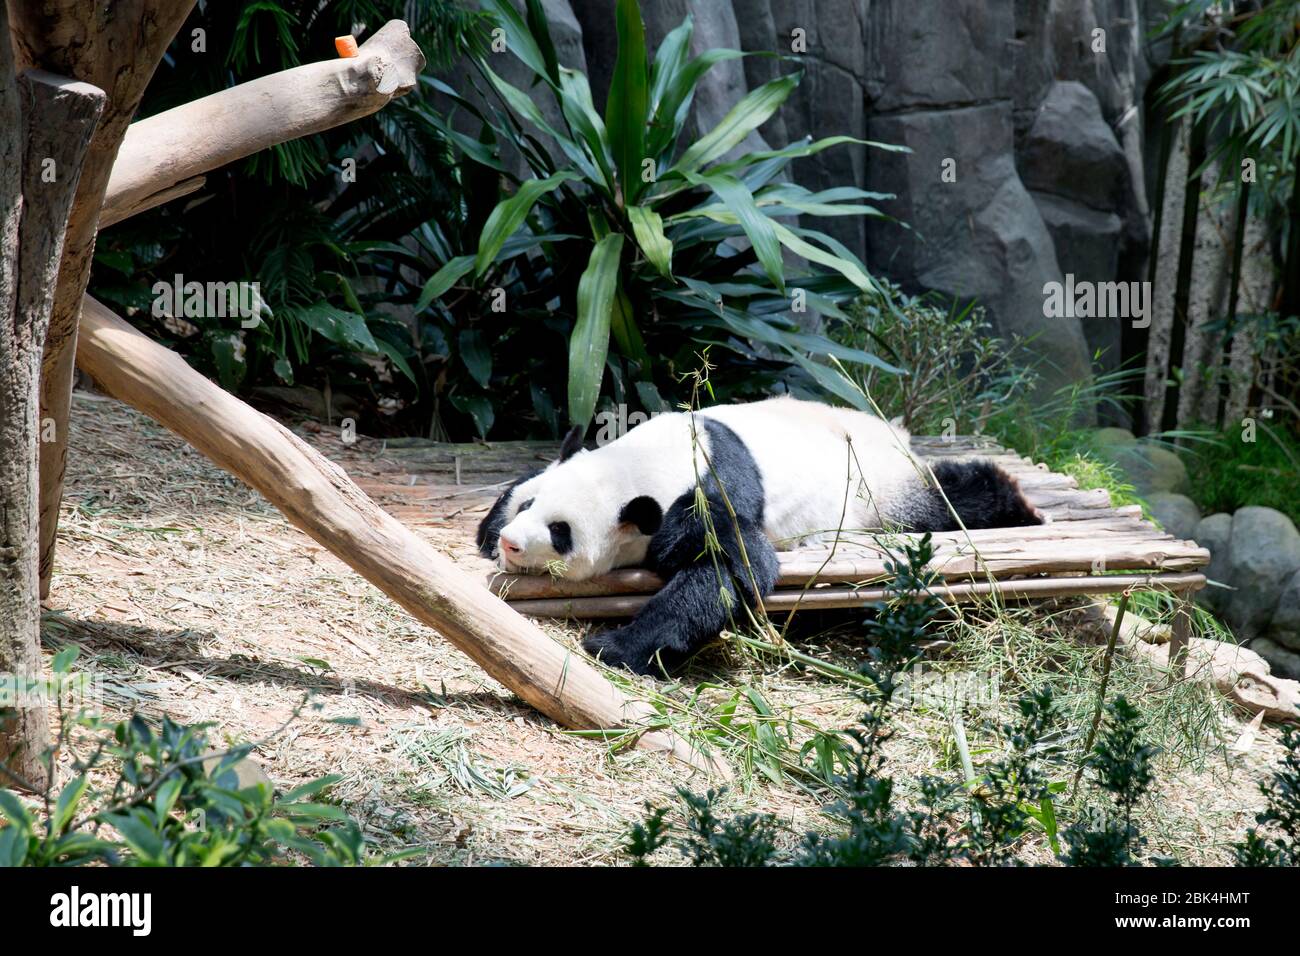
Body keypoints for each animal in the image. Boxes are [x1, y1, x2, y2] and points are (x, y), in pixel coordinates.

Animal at [477, 396, 1042, 675]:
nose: (511, 544)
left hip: (877, 488)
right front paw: (488, 529)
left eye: (561, 533)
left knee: (947, 499)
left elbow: (730, 567)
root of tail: (896, 432)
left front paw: (614, 647)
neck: (644, 464)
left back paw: (1020, 509)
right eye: (529, 506)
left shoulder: (712, 491)